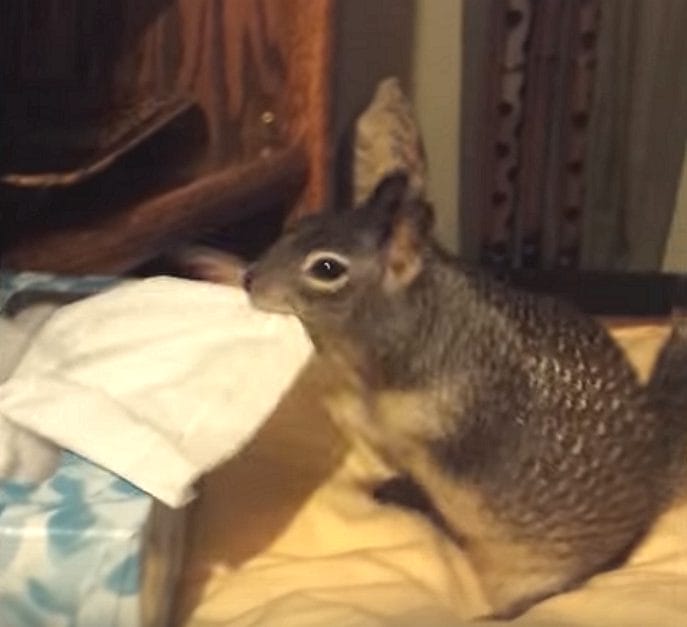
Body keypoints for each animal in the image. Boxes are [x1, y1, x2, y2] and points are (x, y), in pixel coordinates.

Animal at [184, 173, 687, 620]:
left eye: (327, 269)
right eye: (301, 223)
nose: (251, 278)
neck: (431, 314)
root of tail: (656, 481)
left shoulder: (429, 416)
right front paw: (220, 266)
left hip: (543, 569)